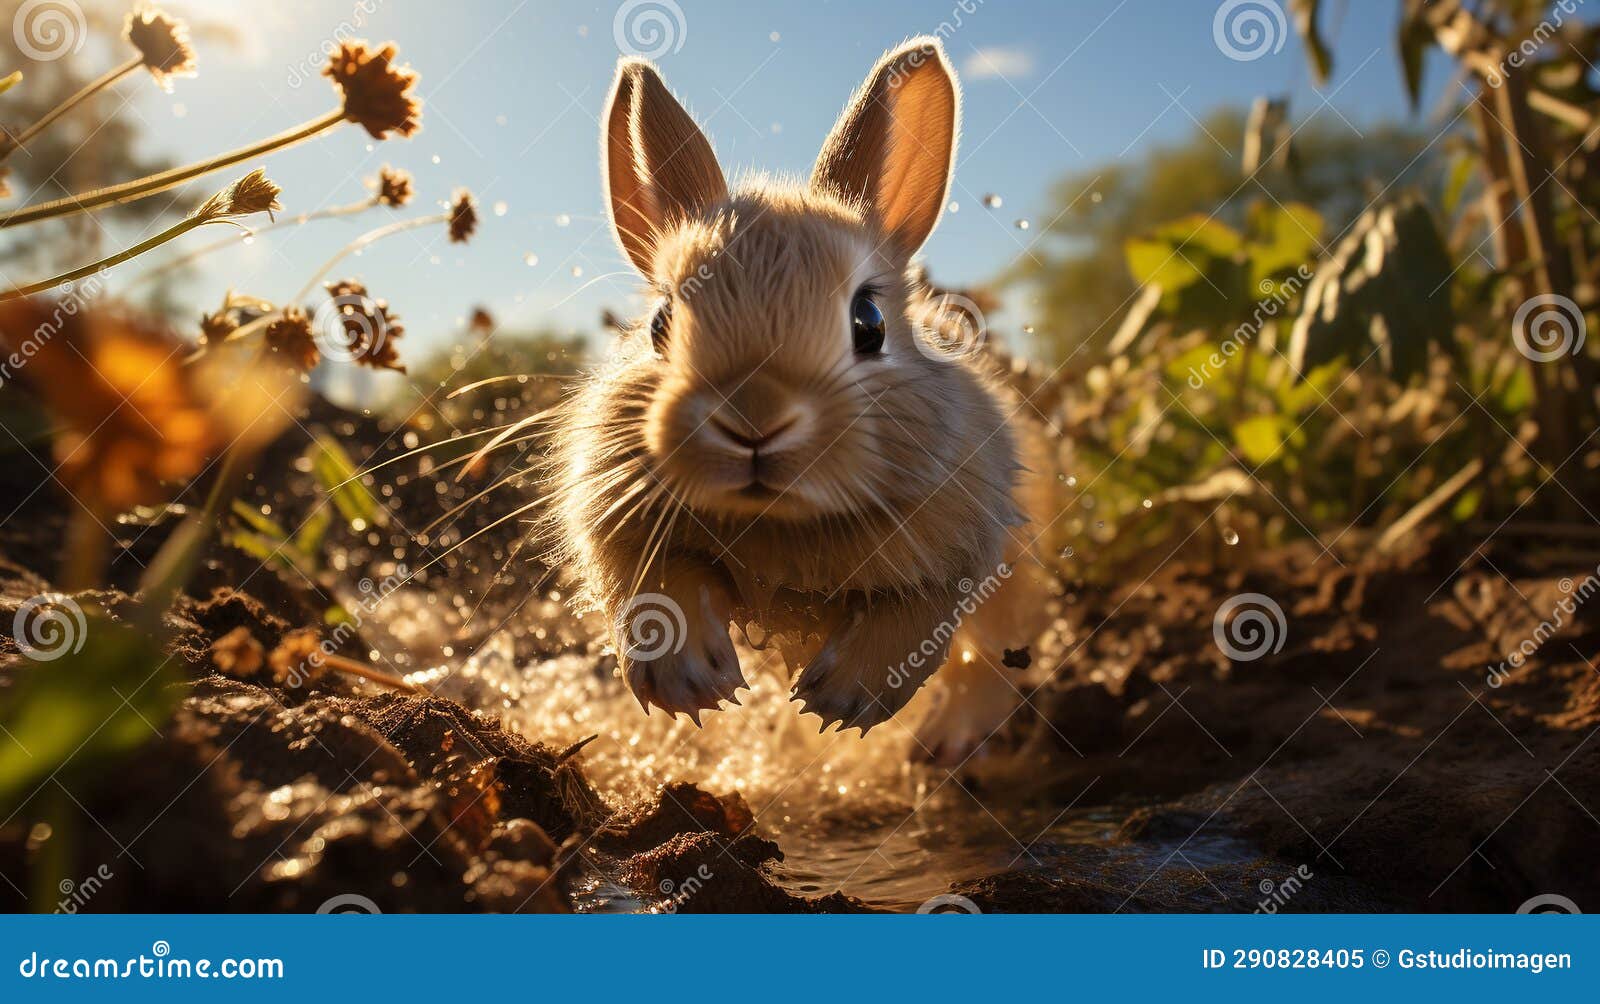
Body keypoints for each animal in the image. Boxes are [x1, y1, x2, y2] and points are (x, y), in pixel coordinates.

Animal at [548, 37, 1053, 765]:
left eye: (869, 322)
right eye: (660, 325)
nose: (752, 420)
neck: (778, 524)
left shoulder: (966, 541)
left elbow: (916, 620)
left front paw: (838, 697)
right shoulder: (622, 524)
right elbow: (654, 595)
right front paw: (690, 683)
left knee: (987, 659)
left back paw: (944, 743)